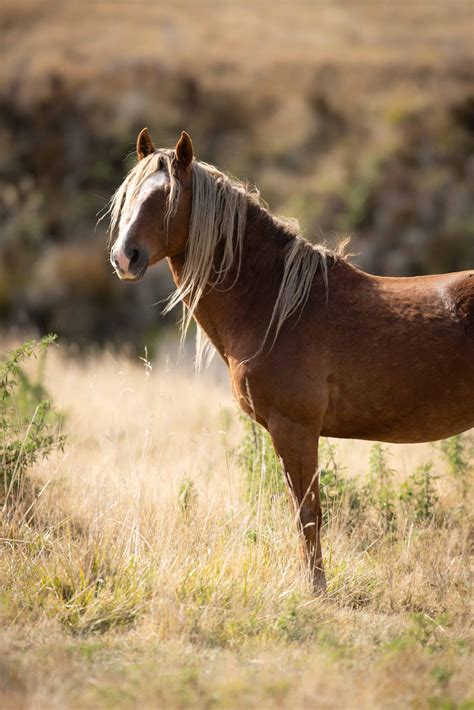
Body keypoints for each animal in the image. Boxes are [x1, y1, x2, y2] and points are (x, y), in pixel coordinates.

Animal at [108, 128, 474, 591]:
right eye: (129, 194)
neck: (276, 306)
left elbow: (307, 514)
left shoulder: (294, 428)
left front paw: (315, 589)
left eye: (168, 197)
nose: (124, 257)